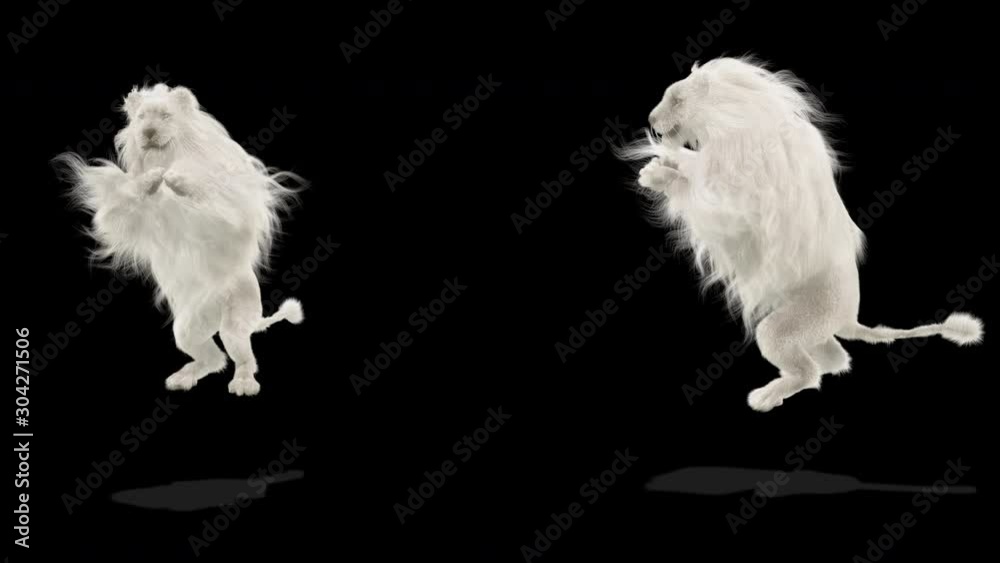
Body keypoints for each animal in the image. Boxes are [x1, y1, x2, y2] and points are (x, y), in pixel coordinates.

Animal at [55, 84, 305, 396]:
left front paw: (177, 178)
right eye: (141, 118)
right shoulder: (120, 218)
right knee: (213, 359)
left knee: (243, 359)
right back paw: (182, 379)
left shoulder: (230, 213)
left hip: (234, 325)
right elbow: (128, 196)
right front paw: (152, 179)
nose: (149, 132)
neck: (166, 158)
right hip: (186, 330)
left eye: (165, 116)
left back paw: (243, 384)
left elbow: (205, 190)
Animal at [620, 56, 983, 412]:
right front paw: (658, 166)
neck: (737, 122)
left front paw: (656, 175)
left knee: (810, 374)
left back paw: (765, 397)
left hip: (780, 329)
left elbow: (695, 178)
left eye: (677, 99)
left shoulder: (736, 201)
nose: (650, 120)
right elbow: (693, 164)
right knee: (835, 361)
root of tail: (850, 318)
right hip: (807, 334)